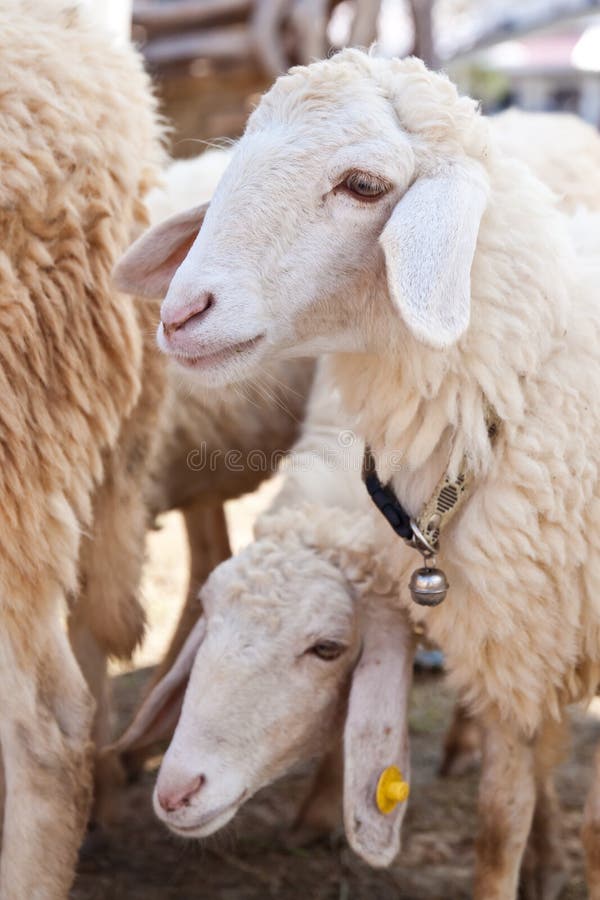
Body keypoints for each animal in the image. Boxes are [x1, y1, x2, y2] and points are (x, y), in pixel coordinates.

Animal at [115, 51, 600, 898]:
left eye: (364, 185)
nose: (179, 313)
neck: (524, 386)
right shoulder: (516, 635)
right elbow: (499, 821)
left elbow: (591, 826)